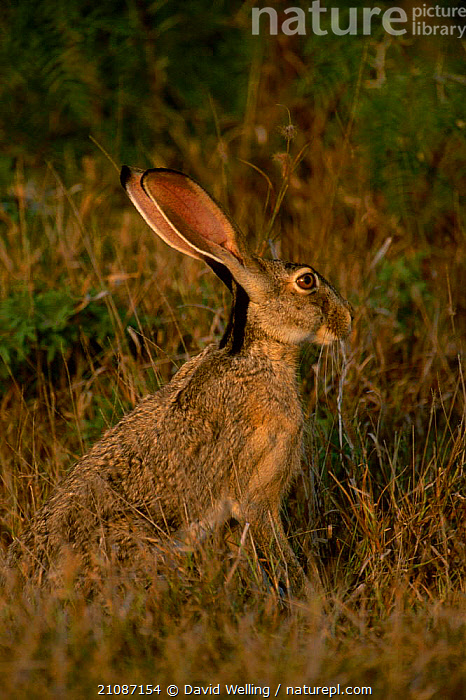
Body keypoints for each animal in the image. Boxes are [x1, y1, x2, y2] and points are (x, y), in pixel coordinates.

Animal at [7, 166, 352, 595]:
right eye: (307, 282)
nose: (347, 320)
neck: (255, 355)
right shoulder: (259, 493)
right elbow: (274, 542)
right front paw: (305, 588)